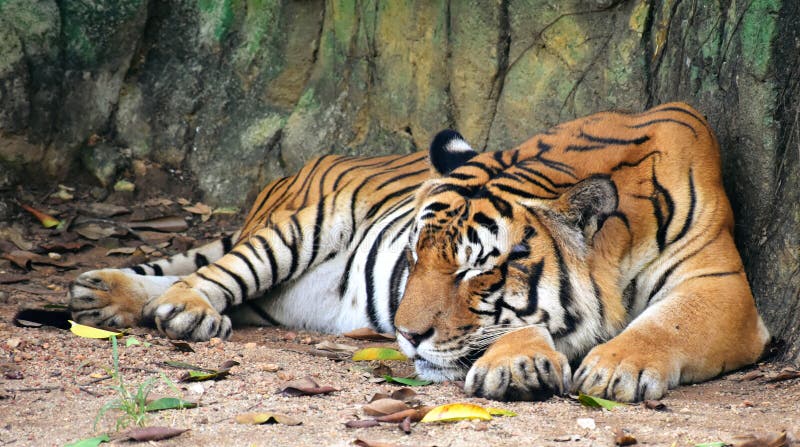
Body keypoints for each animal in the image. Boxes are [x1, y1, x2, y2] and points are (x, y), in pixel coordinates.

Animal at [68, 102, 769, 402]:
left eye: (478, 268)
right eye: (413, 257)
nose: (404, 337)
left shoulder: (721, 285)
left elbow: (666, 324)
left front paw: (613, 368)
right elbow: (531, 325)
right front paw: (524, 363)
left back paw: (107, 296)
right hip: (298, 226)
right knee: (214, 273)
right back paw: (178, 309)